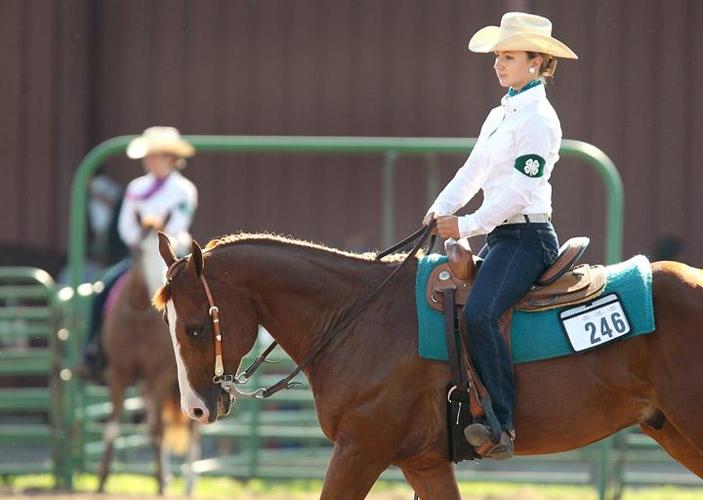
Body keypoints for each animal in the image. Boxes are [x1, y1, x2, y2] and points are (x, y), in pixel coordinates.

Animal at [97, 231, 200, 495]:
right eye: (138, 251)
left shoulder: (159, 375)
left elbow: (158, 430)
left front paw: (161, 483)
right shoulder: (119, 372)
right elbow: (113, 427)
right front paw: (101, 481)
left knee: (191, 429)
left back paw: (188, 483)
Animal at [153, 231, 703, 499]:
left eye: (196, 328)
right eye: (170, 324)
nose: (195, 409)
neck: (356, 315)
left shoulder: (359, 451)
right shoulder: (425, 464)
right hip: (673, 430)